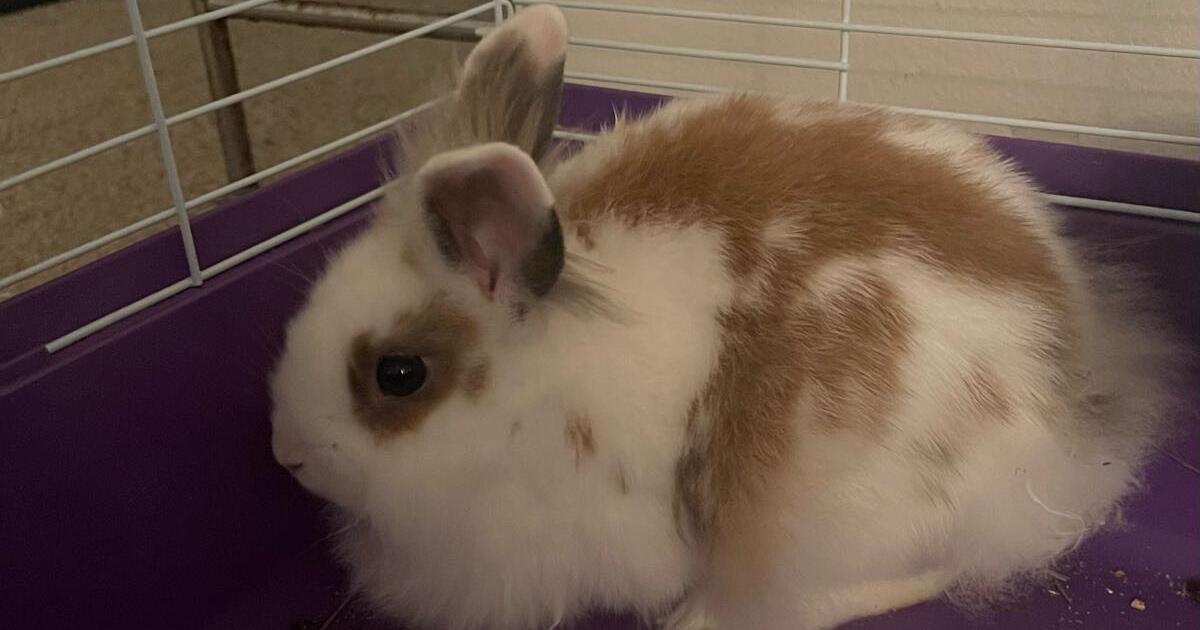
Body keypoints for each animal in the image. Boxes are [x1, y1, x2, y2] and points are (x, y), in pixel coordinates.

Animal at [268, 5, 1184, 630]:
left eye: (398, 375)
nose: (287, 455)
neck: (537, 394)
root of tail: (1076, 396)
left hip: (850, 511)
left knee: (933, 570)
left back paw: (712, 615)